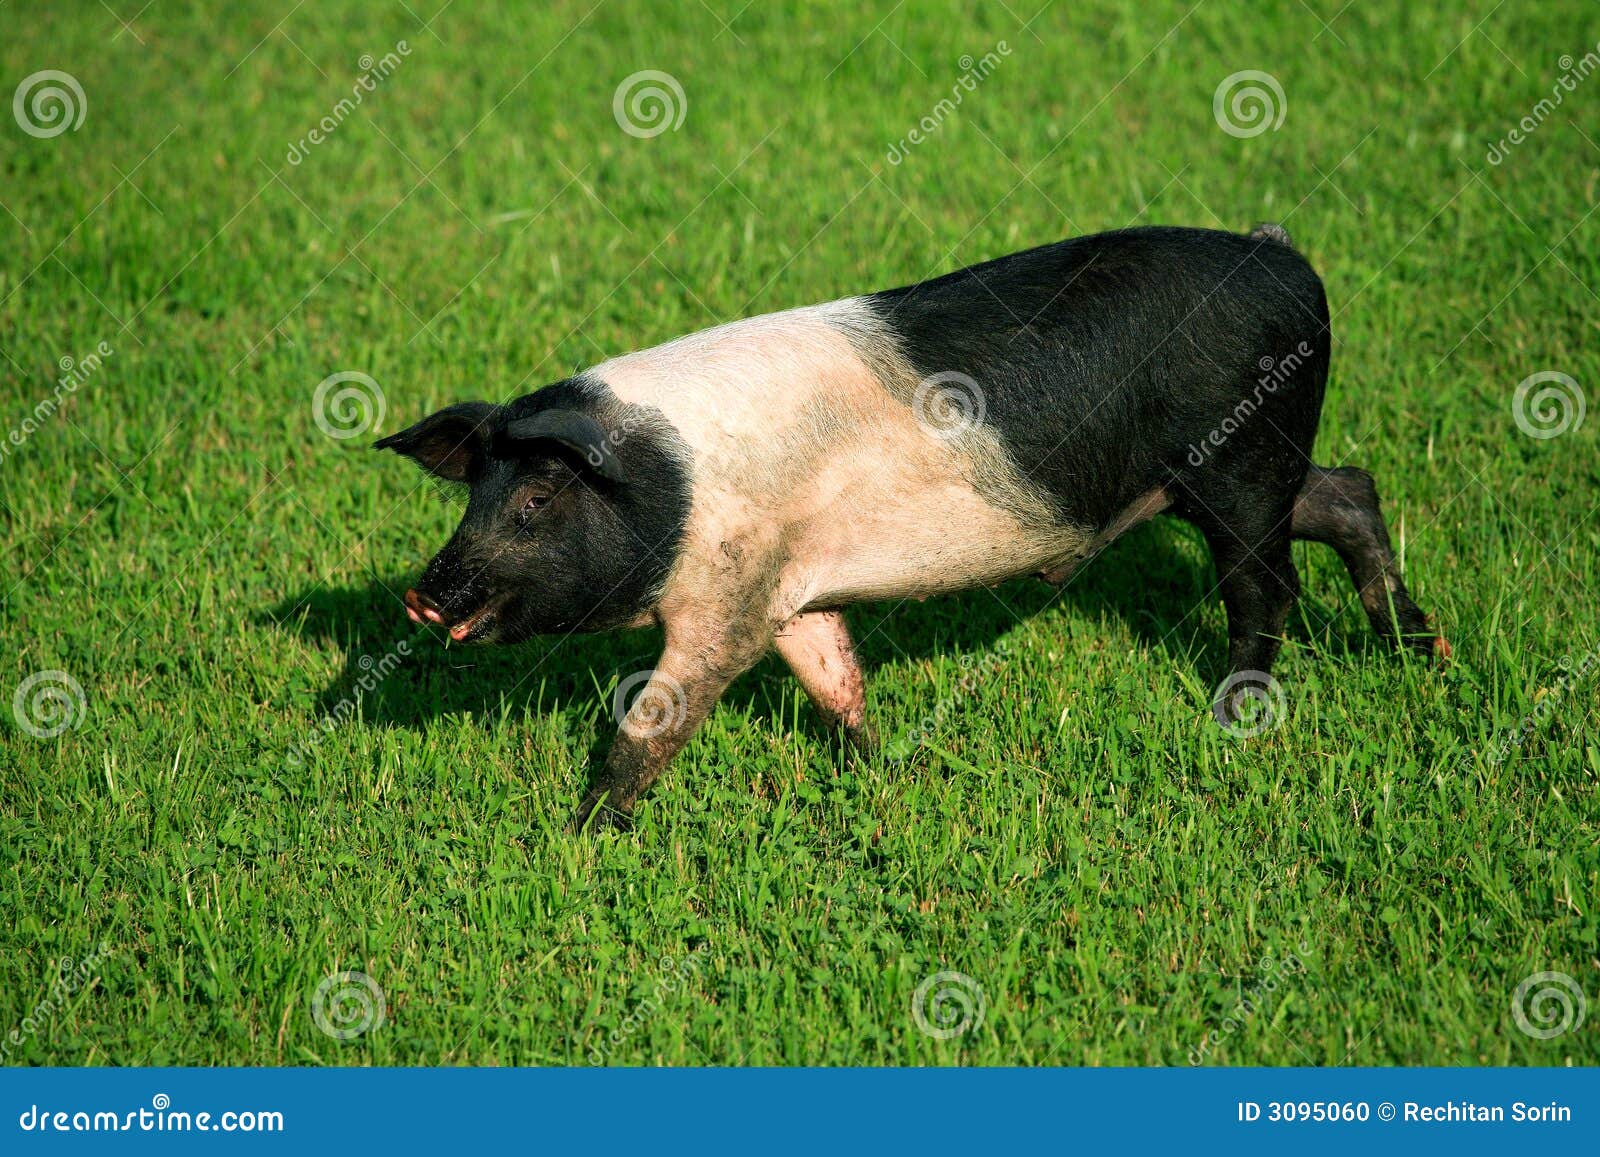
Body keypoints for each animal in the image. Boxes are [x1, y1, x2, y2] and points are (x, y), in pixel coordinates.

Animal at [376, 223, 1440, 832]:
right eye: (473, 495)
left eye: (536, 502)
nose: (423, 595)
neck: (666, 490)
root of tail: (1284, 255)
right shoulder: (788, 591)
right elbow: (834, 675)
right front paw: (876, 774)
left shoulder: (726, 594)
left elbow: (656, 721)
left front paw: (580, 837)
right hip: (1244, 468)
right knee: (1348, 491)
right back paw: (1419, 647)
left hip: (1240, 460)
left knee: (1266, 586)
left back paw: (1231, 721)